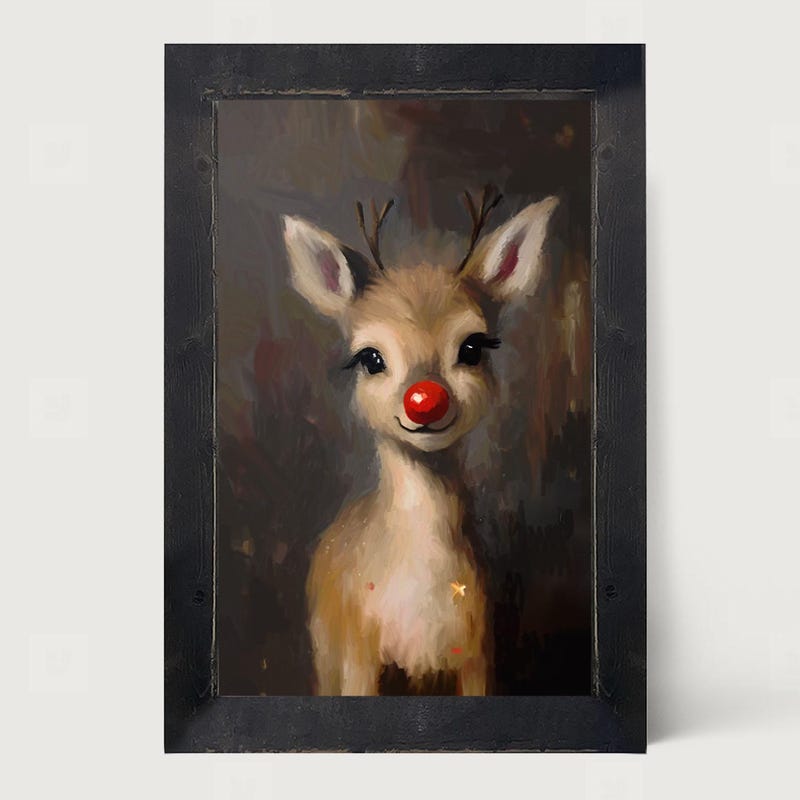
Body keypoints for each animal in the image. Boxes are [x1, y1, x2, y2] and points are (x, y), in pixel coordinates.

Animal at [282, 188, 559, 695]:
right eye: (370, 357)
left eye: (472, 347)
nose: (424, 401)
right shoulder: (358, 656)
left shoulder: (477, 657)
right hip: (325, 654)